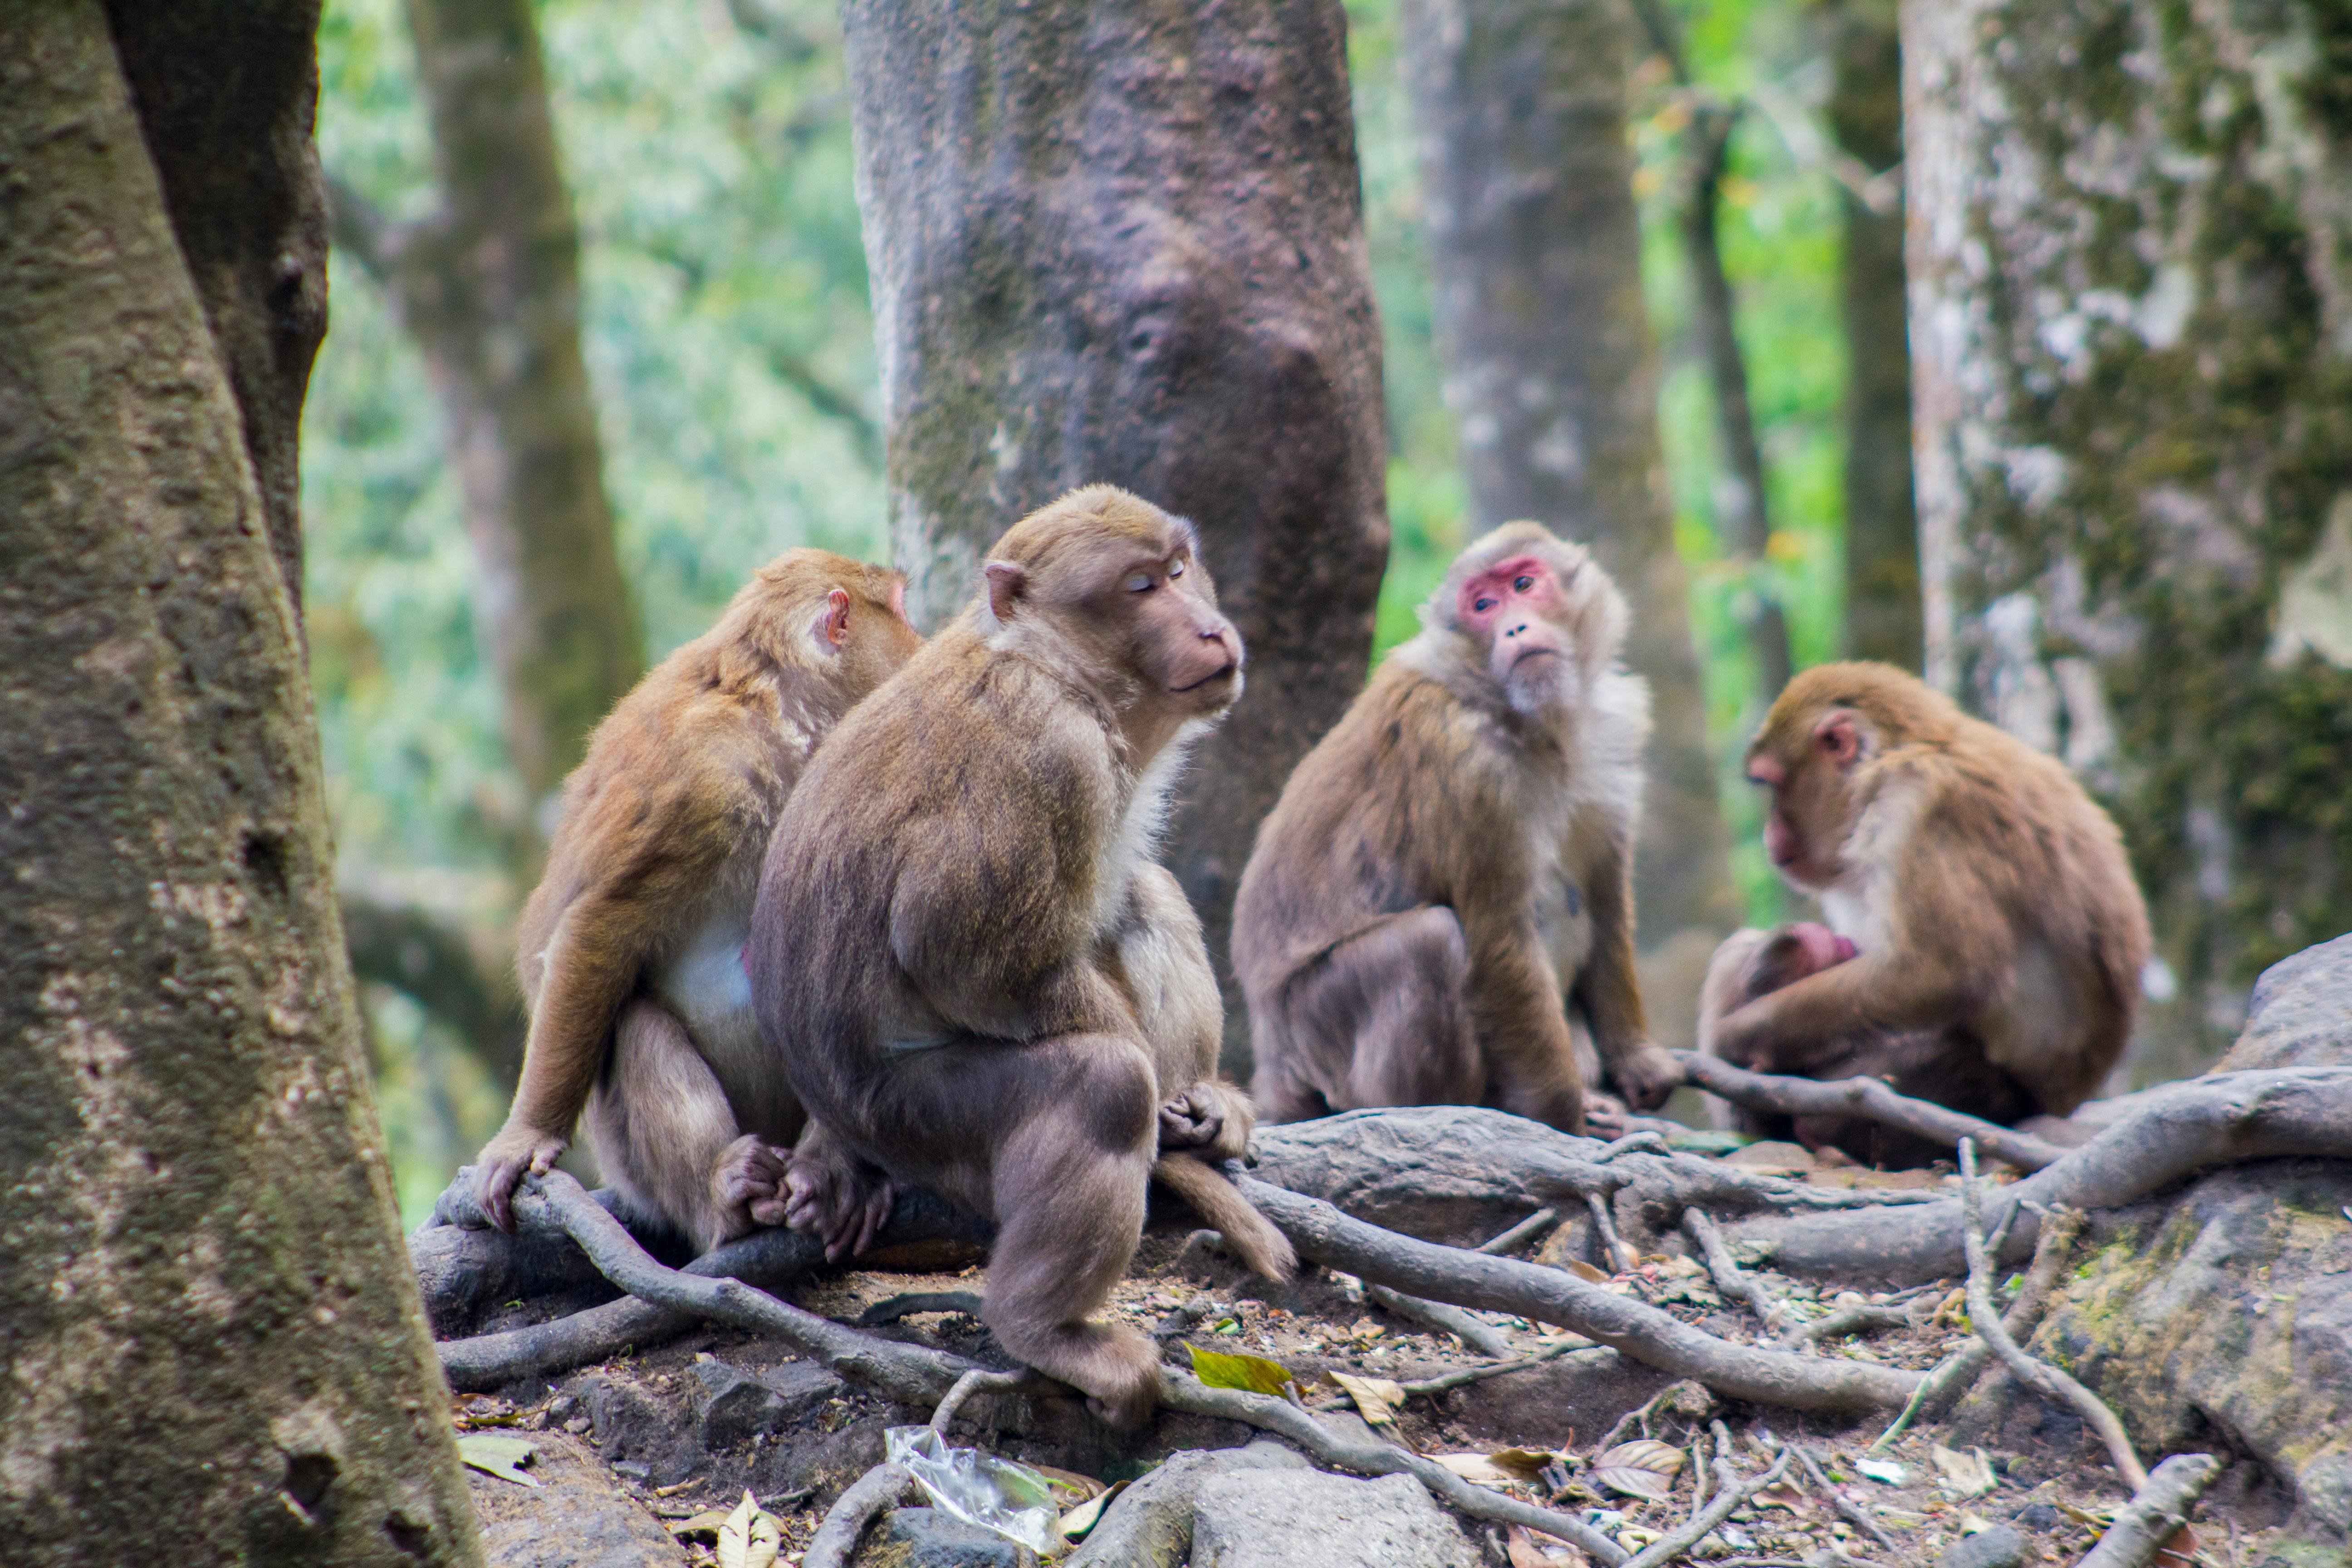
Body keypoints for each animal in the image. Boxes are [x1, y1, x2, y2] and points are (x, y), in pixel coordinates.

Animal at [468, 550, 922, 1252]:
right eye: (901, 610)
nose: (926, 644)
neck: (786, 729)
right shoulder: (698, 784)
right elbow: (597, 926)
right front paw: (528, 1136)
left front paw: (836, 1171)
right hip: (635, 1168)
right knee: (632, 1023)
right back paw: (723, 1196)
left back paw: (833, 1176)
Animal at [747, 485, 1292, 1427]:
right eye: (1140, 587)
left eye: (1178, 569)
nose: (1207, 626)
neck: (1058, 670)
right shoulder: (1052, 755)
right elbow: (952, 949)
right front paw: (1166, 1125)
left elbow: (1116, 903)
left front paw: (1204, 1105)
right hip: (909, 1117)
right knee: (1100, 1084)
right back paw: (1044, 1328)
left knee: (1146, 895)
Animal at [1231, 519, 1677, 1137]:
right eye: (1483, 606)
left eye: (1523, 583)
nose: (1515, 625)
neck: (1534, 721)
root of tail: (1272, 1065)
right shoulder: (1469, 766)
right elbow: (1500, 938)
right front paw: (1566, 1122)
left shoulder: (1613, 735)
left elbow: (1605, 901)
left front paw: (1638, 1061)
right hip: (1318, 1040)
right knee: (1430, 941)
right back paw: (1450, 1108)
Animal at [1711, 661, 2152, 1130]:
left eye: (1772, 787)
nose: (1768, 834)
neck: (1897, 756)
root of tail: (2058, 1105)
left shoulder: (1922, 805)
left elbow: (1945, 976)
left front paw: (1741, 1035)